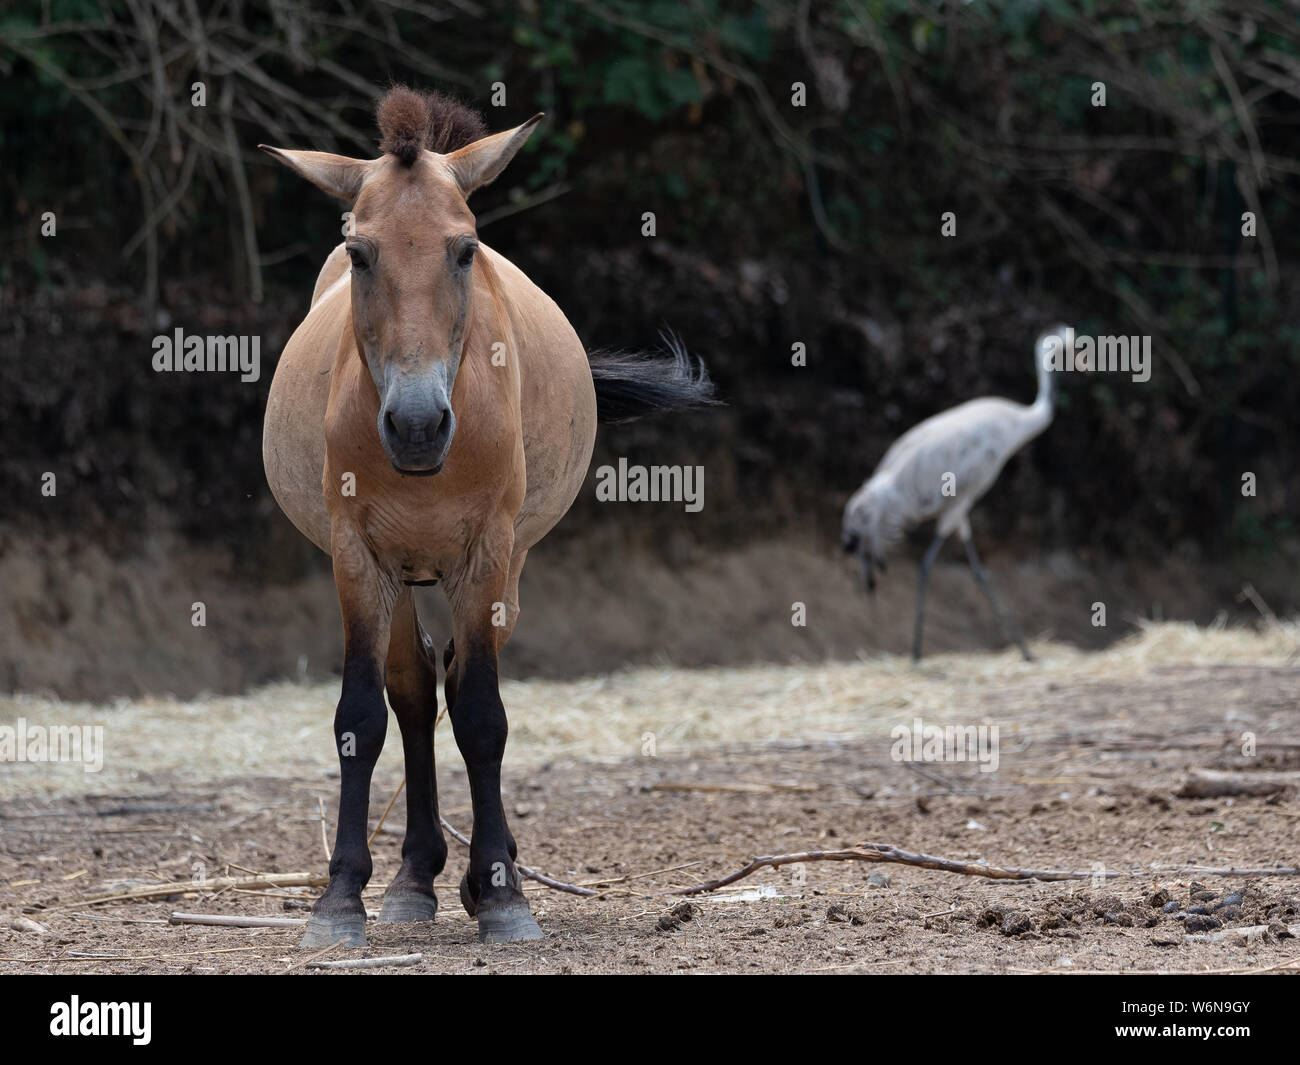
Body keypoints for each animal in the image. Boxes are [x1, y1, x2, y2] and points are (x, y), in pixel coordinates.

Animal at [260, 87, 713, 946]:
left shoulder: (488, 552)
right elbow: (362, 715)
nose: (415, 424)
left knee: (464, 679)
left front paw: (502, 892)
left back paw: (480, 872)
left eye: (464, 249)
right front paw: (341, 897)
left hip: (503, 566)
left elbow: (481, 715)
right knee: (413, 689)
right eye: (359, 252)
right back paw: (415, 876)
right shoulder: (357, 556)